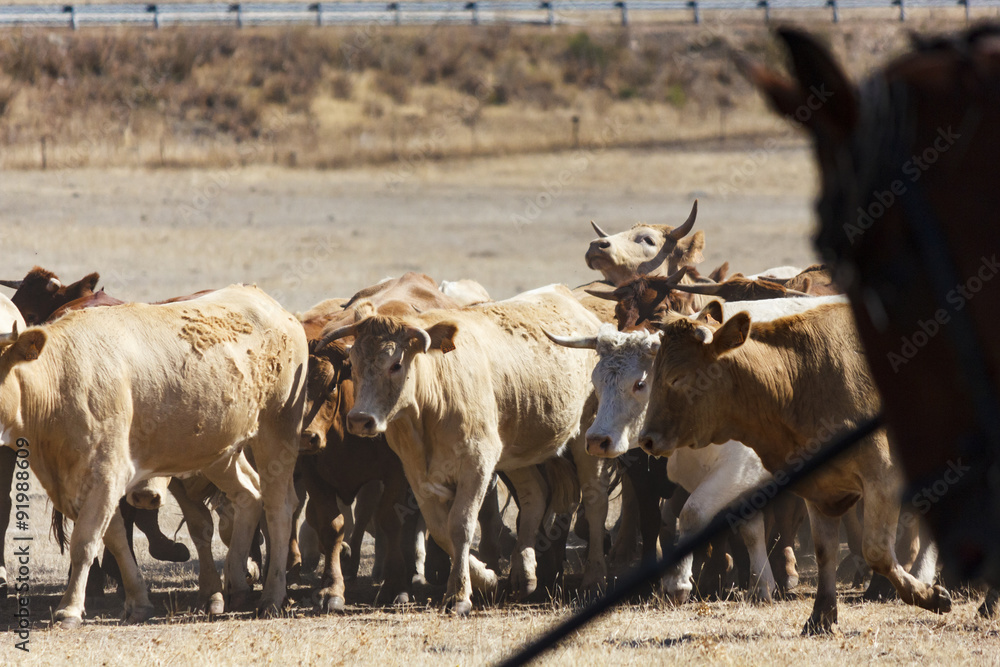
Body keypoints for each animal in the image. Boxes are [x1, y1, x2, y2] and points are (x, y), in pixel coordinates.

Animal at [0, 285, 307, 627]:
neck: (58, 380)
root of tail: (269, 304)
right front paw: (139, 602)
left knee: (279, 507)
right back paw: (237, 582)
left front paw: (69, 609)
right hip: (219, 451)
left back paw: (272, 597)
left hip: (278, 430)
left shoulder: (106, 474)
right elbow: (116, 539)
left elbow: (86, 541)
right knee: (248, 494)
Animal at [321, 285, 608, 614]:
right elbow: (440, 529)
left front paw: (459, 595)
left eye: (396, 364)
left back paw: (594, 579)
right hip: (516, 451)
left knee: (595, 501)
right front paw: (487, 578)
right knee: (534, 495)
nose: (360, 420)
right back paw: (523, 576)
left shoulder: (477, 464)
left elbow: (460, 525)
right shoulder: (418, 474)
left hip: (588, 439)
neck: (431, 402)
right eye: (353, 363)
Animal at [638, 302, 952, 633]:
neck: (801, 382)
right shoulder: (821, 487)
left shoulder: (882, 477)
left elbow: (876, 550)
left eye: (677, 378)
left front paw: (929, 596)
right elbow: (824, 550)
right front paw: (821, 617)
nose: (645, 439)